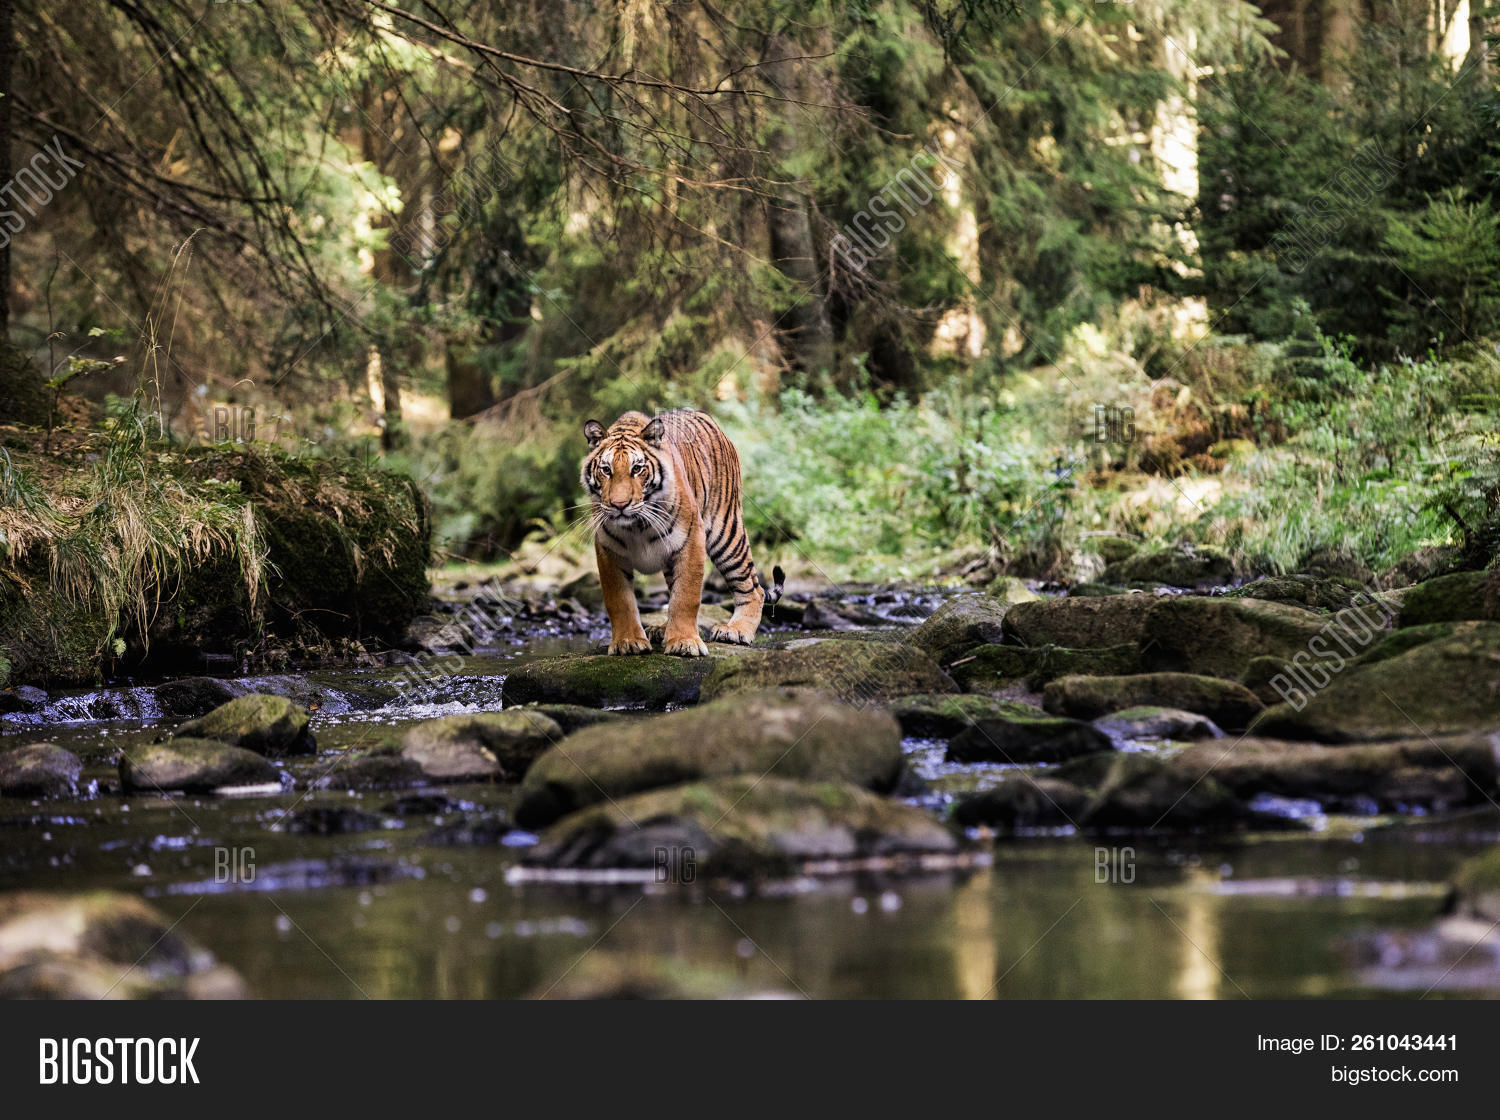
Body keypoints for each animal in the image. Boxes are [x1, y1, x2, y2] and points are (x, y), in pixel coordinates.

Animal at [581, 409, 784, 657]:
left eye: (637, 469)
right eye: (606, 470)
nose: (620, 505)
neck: (637, 525)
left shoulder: (692, 539)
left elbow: (685, 597)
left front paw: (684, 642)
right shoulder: (608, 551)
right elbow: (620, 601)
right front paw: (627, 642)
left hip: (726, 534)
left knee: (753, 589)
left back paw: (735, 631)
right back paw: (660, 629)